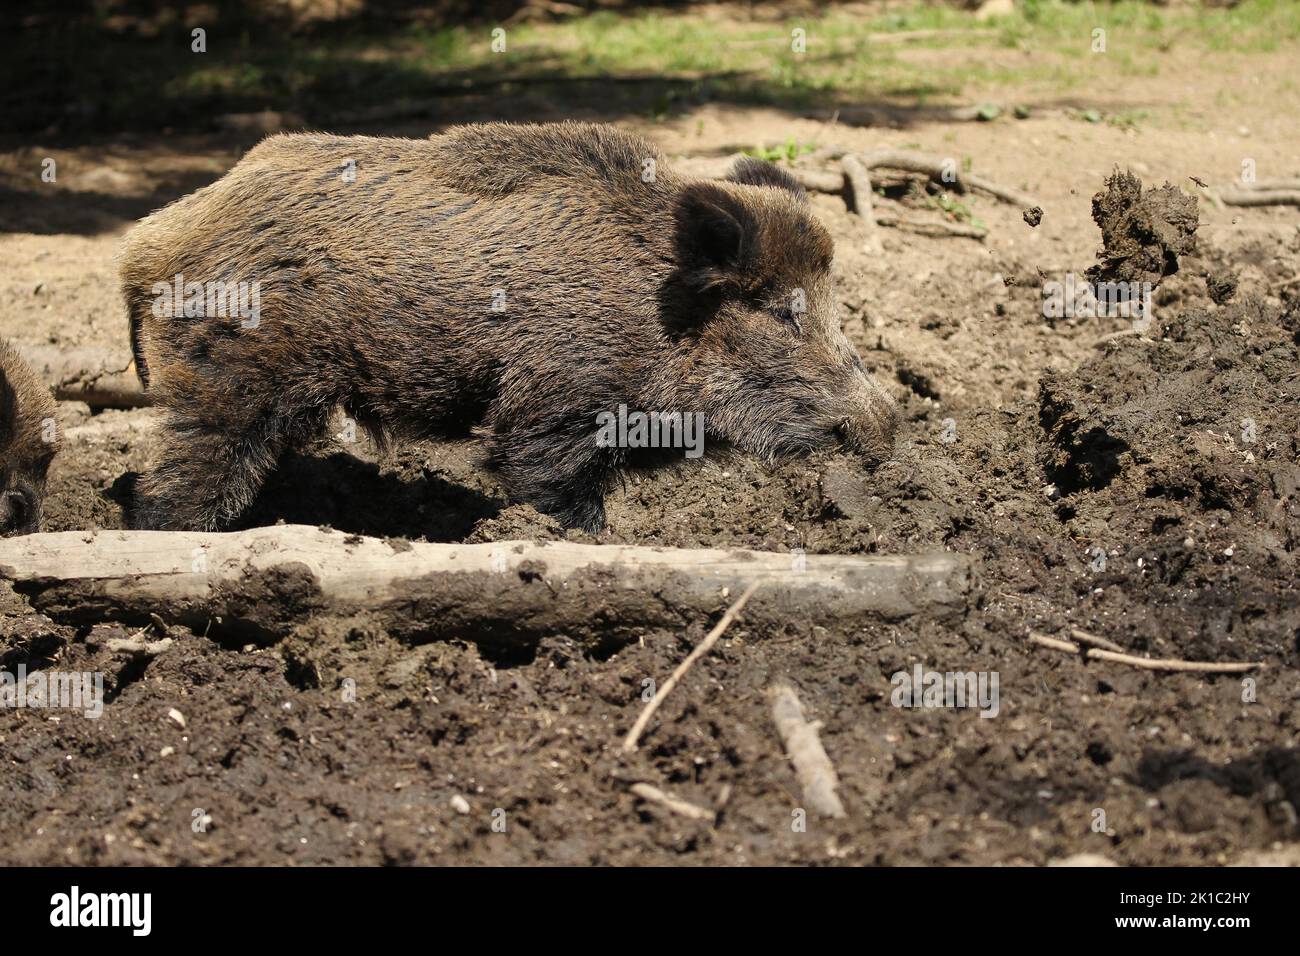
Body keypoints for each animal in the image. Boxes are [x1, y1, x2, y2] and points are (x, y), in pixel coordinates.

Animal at [120, 122, 898, 532]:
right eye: (780, 310)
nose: (888, 432)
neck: (656, 310)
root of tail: (149, 240)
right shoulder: (555, 399)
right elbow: (542, 475)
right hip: (228, 367)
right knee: (188, 467)